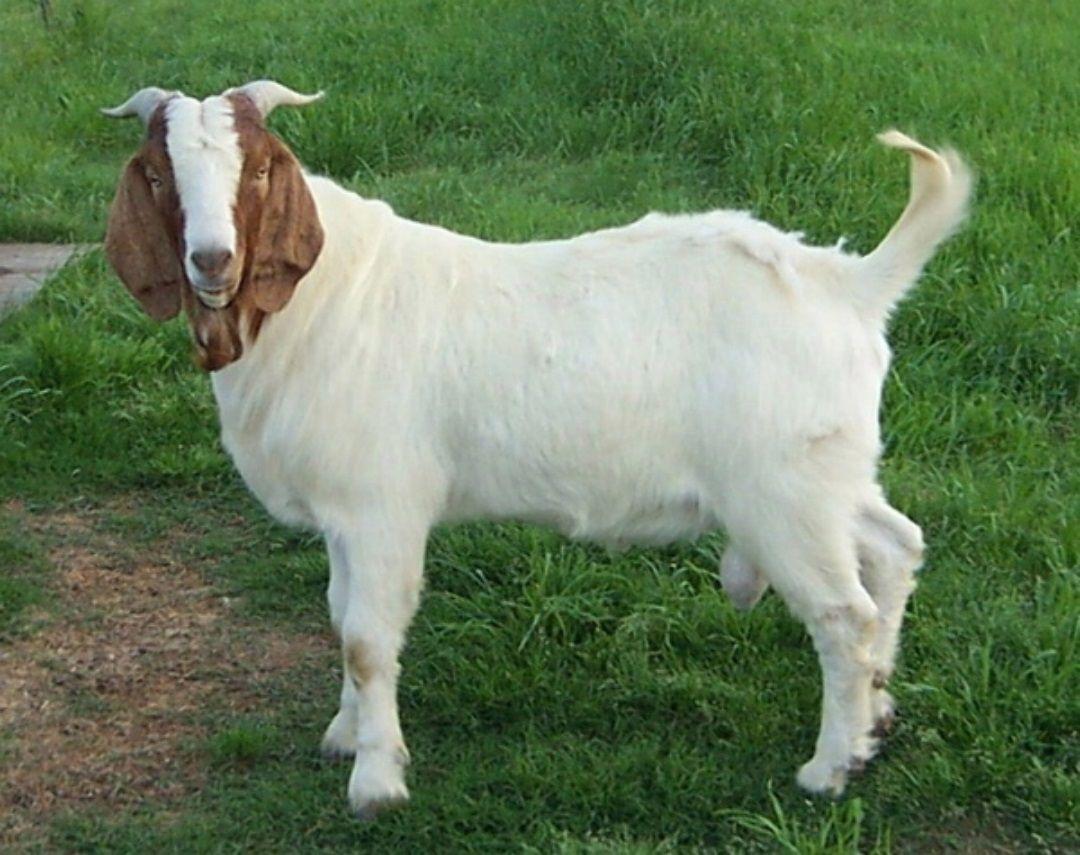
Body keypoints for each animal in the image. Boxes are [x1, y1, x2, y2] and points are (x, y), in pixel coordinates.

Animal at [102, 81, 971, 817]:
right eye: (158, 174)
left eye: (257, 171)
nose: (211, 260)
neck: (325, 295)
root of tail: (851, 283)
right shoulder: (345, 513)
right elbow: (339, 615)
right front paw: (345, 736)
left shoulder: (381, 507)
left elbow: (368, 639)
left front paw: (377, 781)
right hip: (830, 472)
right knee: (895, 545)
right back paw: (877, 711)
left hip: (783, 492)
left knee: (843, 614)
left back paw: (830, 766)